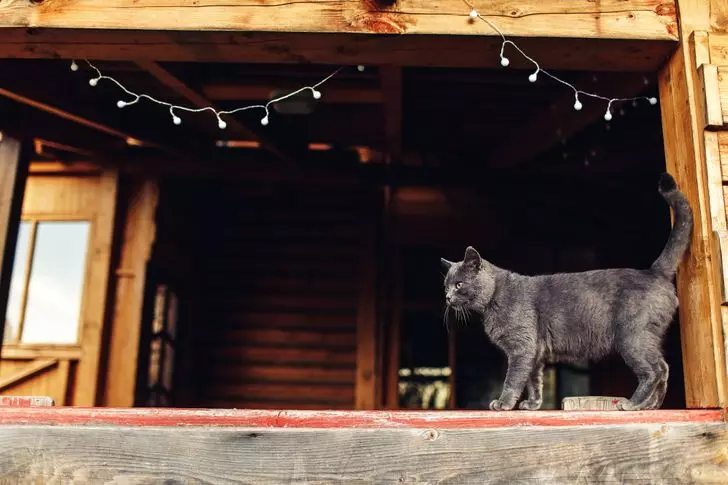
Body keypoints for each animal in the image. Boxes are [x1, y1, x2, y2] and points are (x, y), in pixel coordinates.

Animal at [440, 172, 692, 410]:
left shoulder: (522, 348)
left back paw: (633, 404)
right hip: (648, 337)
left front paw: (503, 404)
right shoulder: (535, 353)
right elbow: (534, 381)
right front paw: (533, 404)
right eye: (445, 285)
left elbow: (513, 379)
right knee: (664, 368)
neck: (494, 298)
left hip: (633, 336)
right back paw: (651, 405)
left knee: (653, 371)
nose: (448, 297)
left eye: (459, 284)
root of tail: (654, 271)